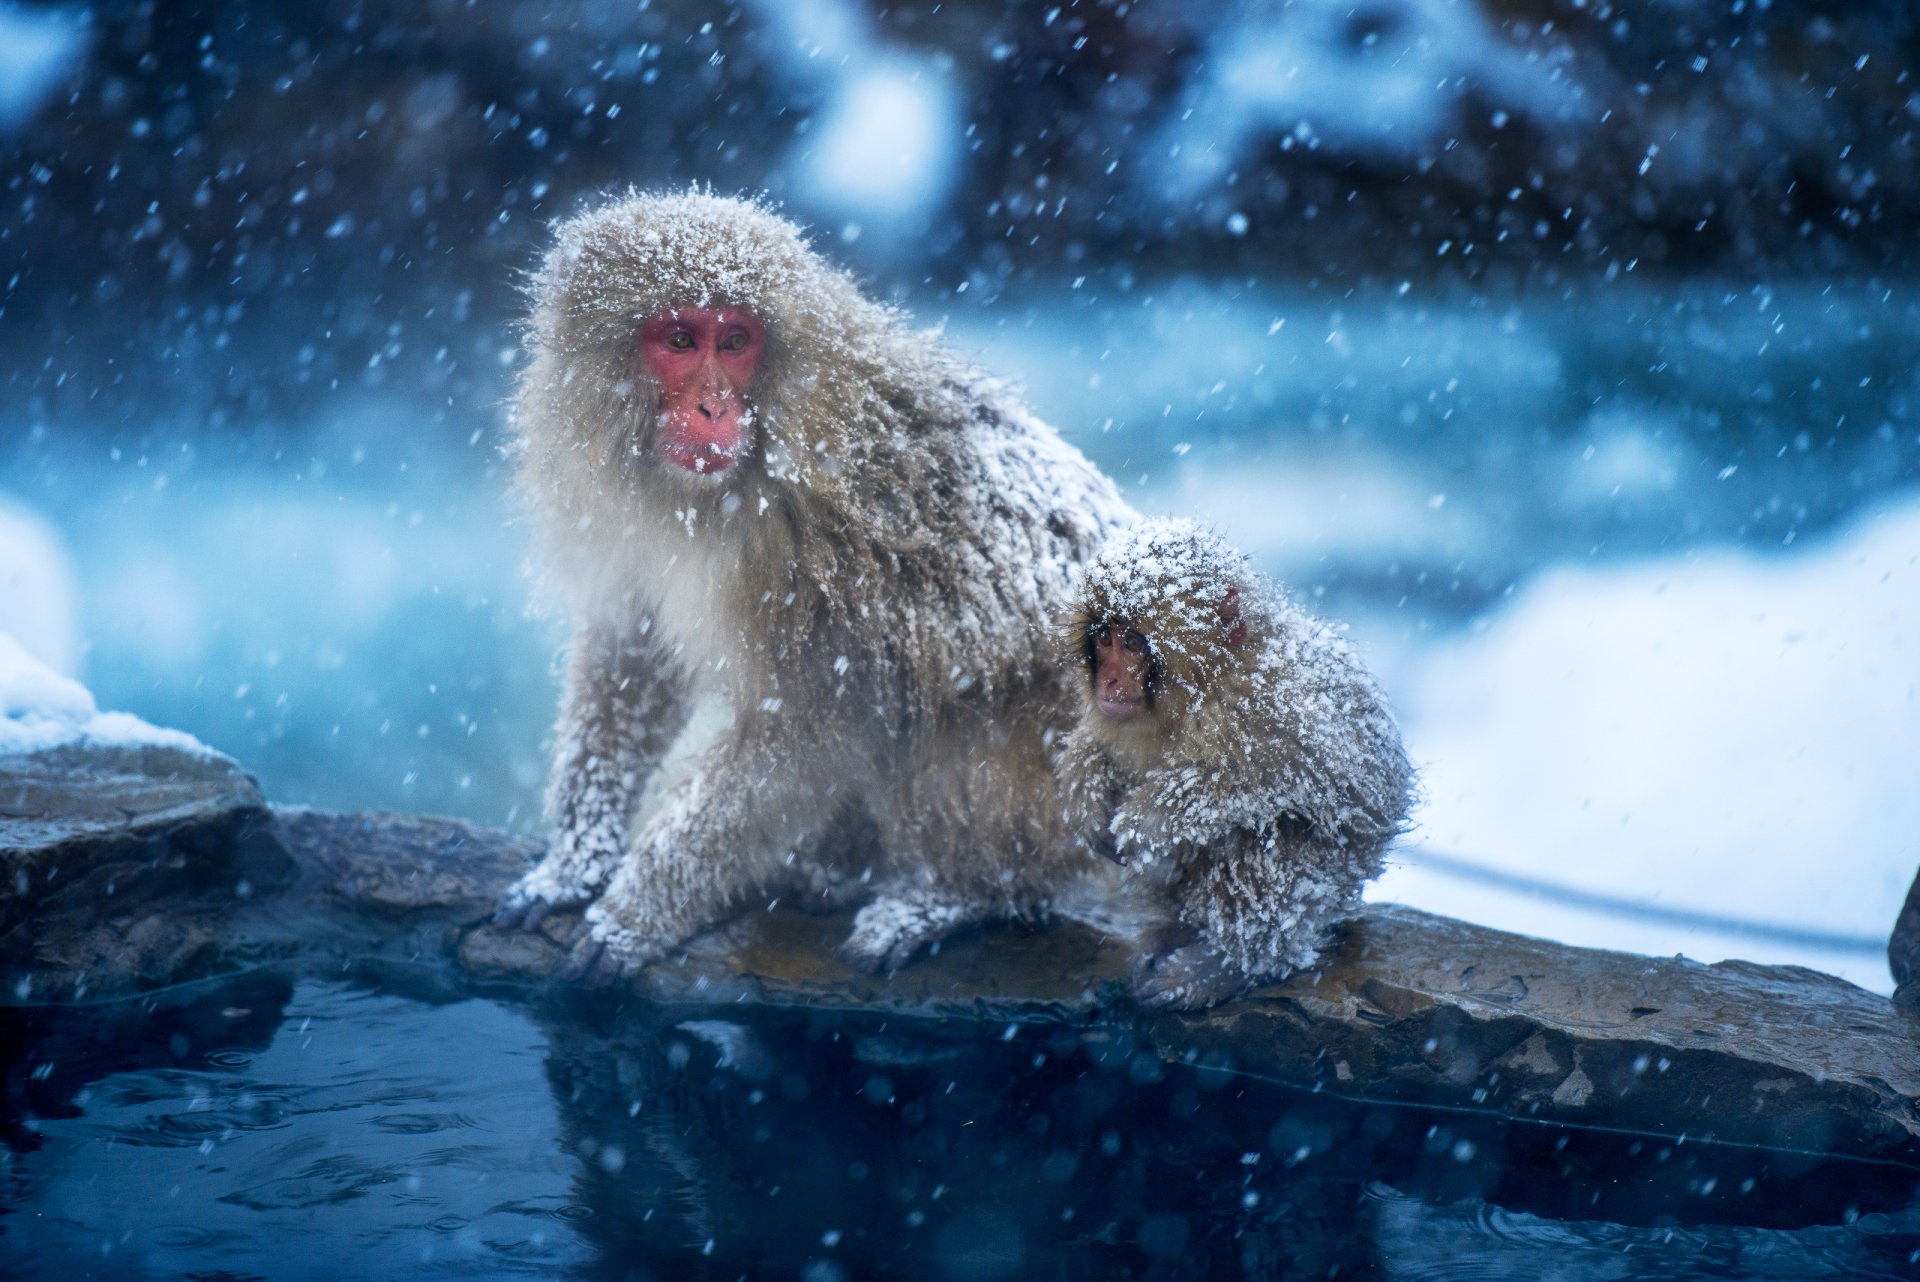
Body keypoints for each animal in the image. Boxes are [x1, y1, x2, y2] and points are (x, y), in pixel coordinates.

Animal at [492, 190, 1136, 980]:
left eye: (736, 341)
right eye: (679, 339)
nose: (713, 407)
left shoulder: (815, 565)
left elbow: (806, 739)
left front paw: (635, 913)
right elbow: (633, 650)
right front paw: (575, 860)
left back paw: (958, 894)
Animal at [1054, 519, 1415, 1008]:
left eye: (1132, 643)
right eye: (1105, 638)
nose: (1108, 681)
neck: (1205, 688)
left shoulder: (1274, 704)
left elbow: (1303, 780)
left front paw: (1147, 819)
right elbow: (1097, 747)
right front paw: (1083, 789)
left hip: (1331, 880)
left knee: (1265, 842)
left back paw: (1227, 965)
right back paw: (1173, 935)